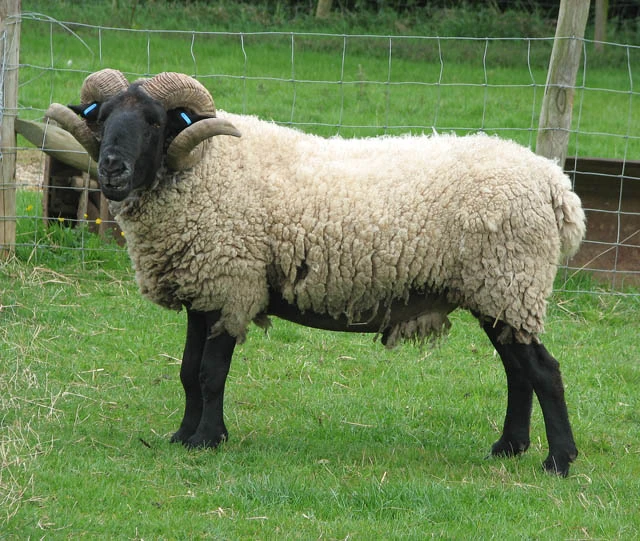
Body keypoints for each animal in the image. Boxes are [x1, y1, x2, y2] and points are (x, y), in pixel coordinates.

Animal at [46, 69, 586, 477]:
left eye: (156, 122)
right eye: (104, 118)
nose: (112, 169)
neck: (203, 169)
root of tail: (554, 185)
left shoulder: (233, 283)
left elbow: (210, 372)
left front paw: (208, 439)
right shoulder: (204, 287)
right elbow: (186, 371)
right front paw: (182, 435)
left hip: (509, 283)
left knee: (544, 372)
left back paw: (559, 461)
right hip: (499, 292)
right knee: (518, 372)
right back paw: (508, 448)